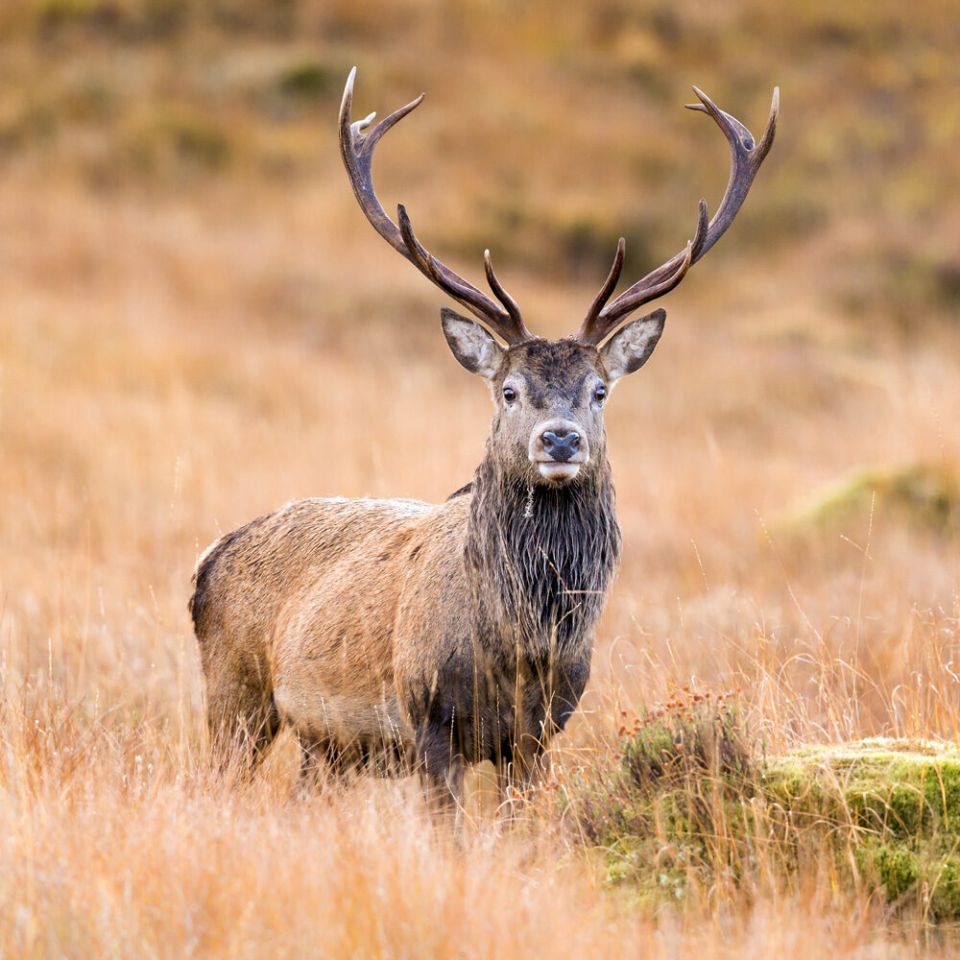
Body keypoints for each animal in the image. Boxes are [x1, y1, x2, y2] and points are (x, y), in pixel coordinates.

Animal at [190, 68, 778, 814]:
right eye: (509, 390)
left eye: (599, 390)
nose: (561, 441)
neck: (519, 650)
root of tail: (208, 559)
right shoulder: (425, 717)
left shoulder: (539, 736)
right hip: (235, 689)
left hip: (327, 747)